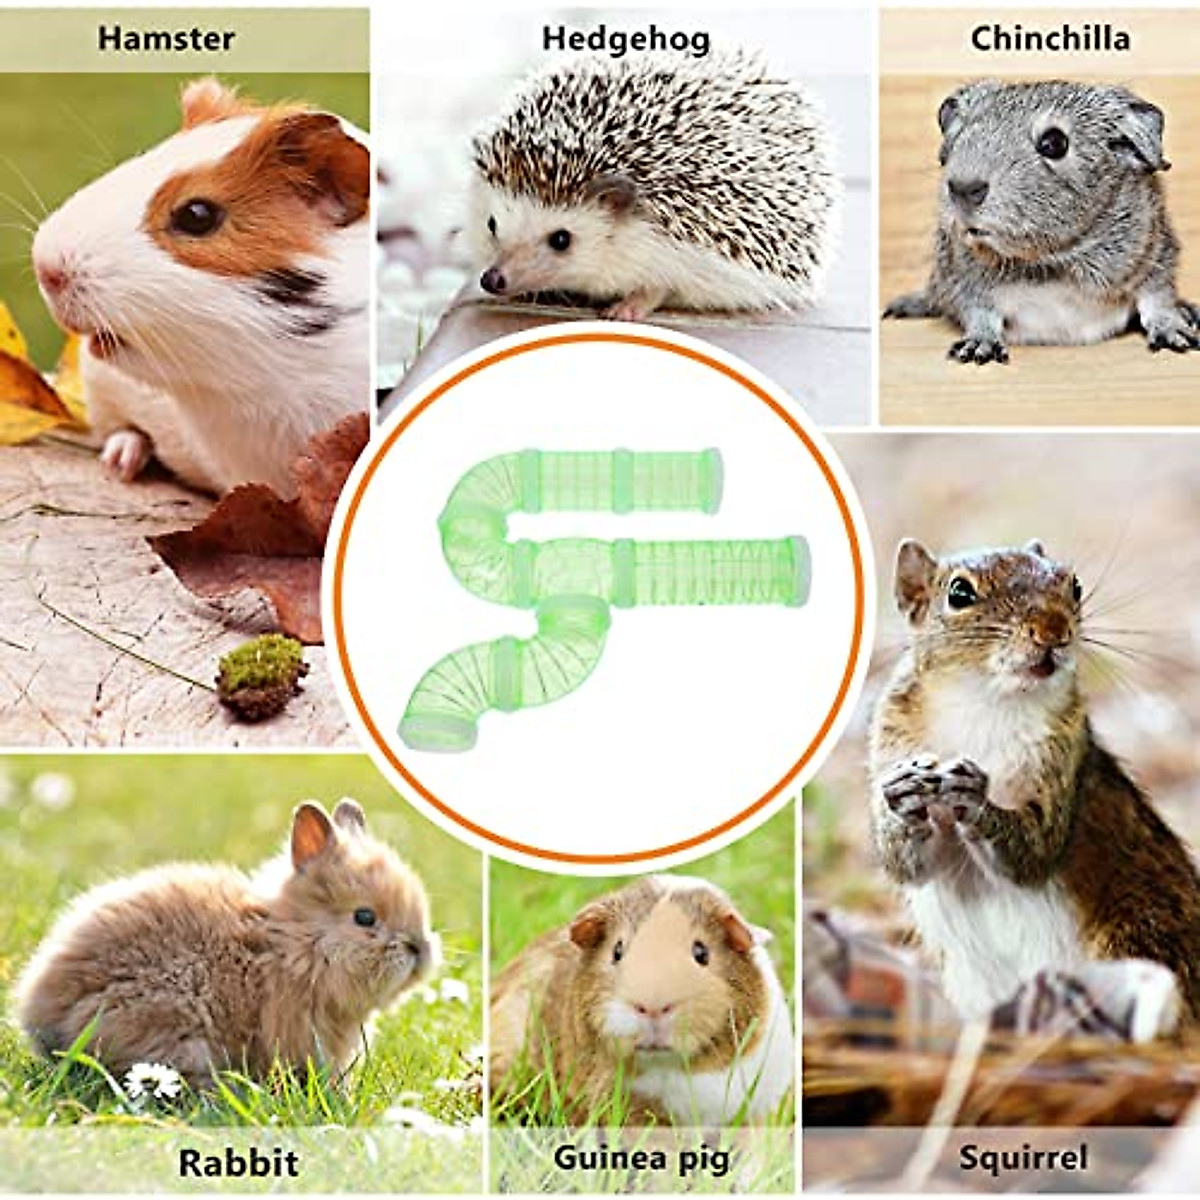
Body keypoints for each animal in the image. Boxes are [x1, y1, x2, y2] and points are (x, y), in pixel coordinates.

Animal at [885, 80, 1199, 363]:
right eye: (961, 134)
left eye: (1054, 143)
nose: (963, 187)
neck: (1048, 262)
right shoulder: (963, 278)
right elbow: (979, 313)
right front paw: (978, 347)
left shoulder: (1156, 256)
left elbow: (1157, 300)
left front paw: (1176, 334)